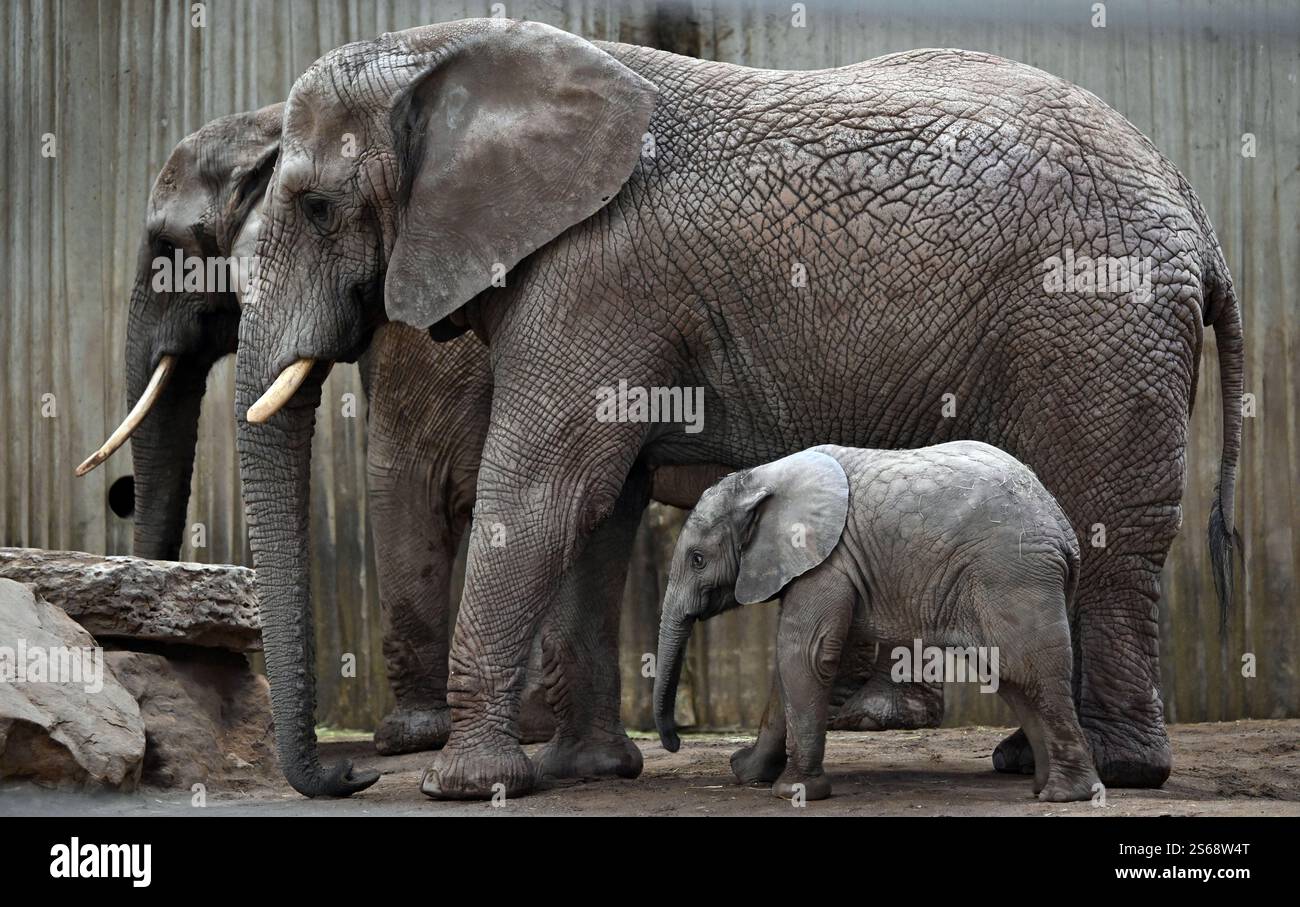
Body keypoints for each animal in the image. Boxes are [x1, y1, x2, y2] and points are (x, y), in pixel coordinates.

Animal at [652, 443, 1101, 803]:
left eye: (697, 559)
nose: (674, 743)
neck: (763, 478)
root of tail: (1062, 526)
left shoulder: (828, 561)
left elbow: (805, 654)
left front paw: (795, 792)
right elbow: (787, 665)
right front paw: (746, 772)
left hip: (1013, 574)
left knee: (1031, 670)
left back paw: (1066, 795)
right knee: (1011, 676)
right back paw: (1043, 788)